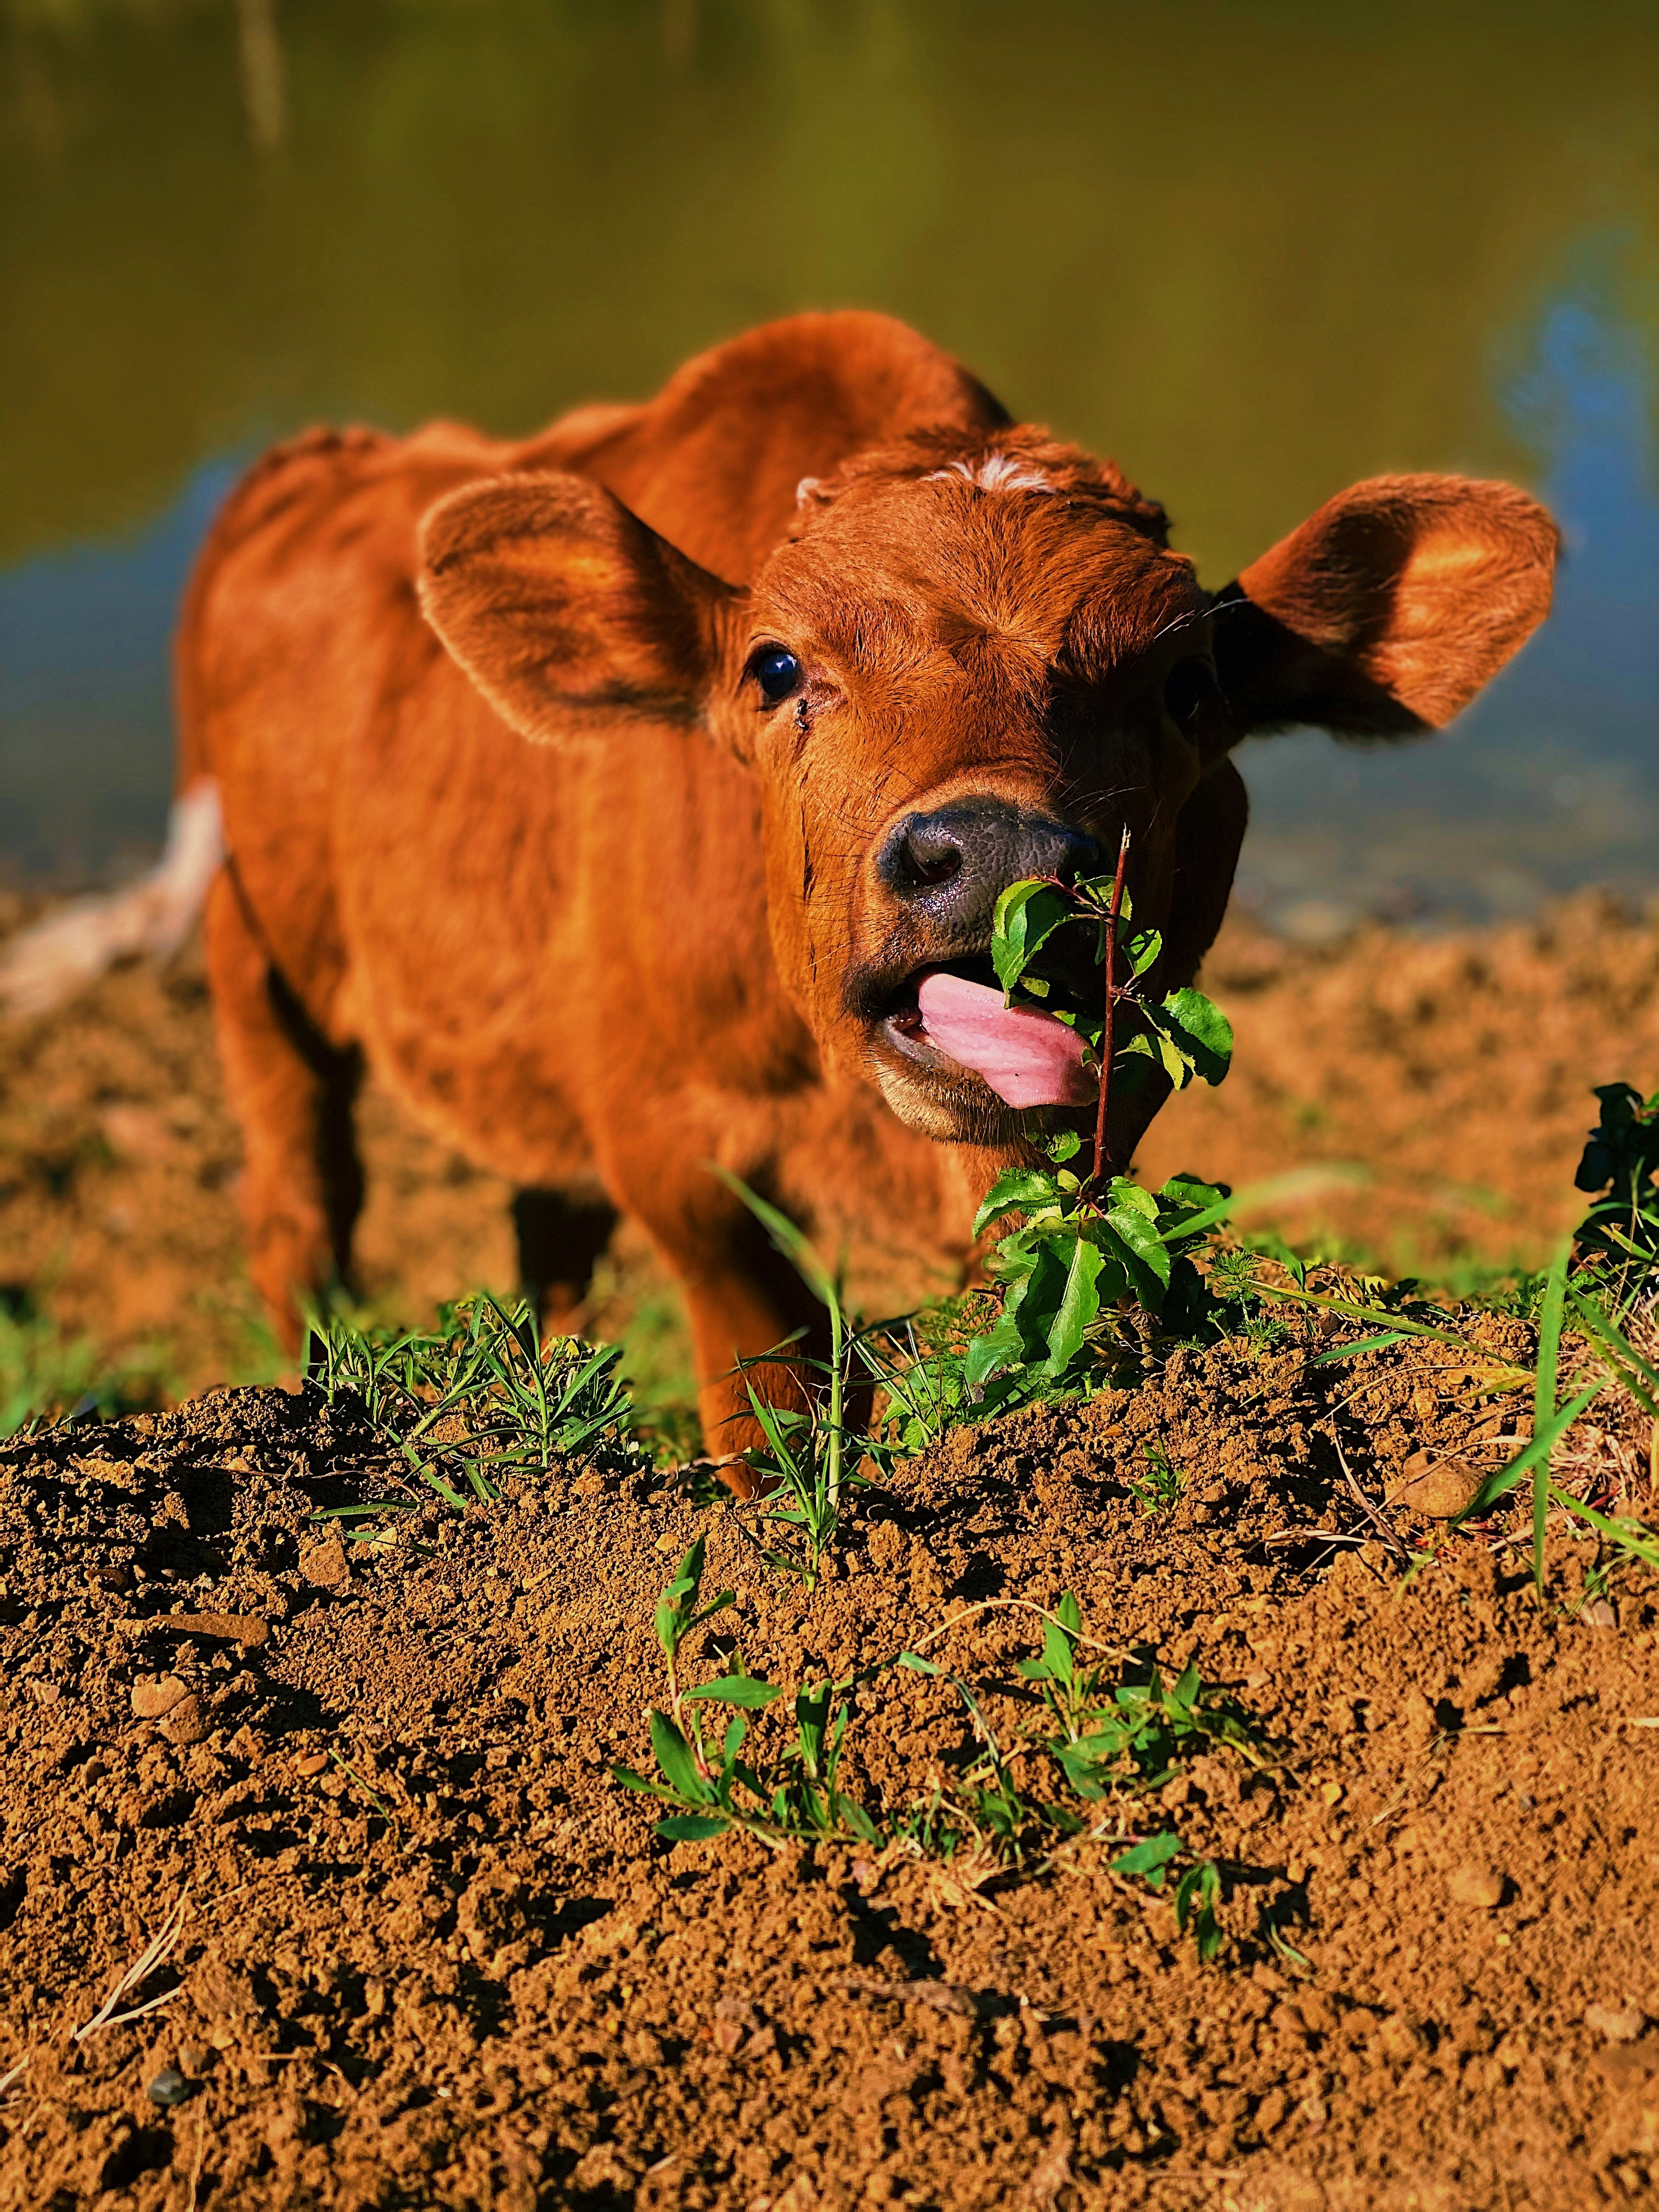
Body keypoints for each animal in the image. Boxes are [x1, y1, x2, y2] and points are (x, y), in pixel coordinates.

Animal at [1, 312, 1556, 1464]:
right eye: (776, 666)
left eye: (1188, 685)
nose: (1002, 856)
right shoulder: (681, 1157)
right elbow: (776, 1402)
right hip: (256, 957)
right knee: (301, 1209)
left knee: (541, 1224)